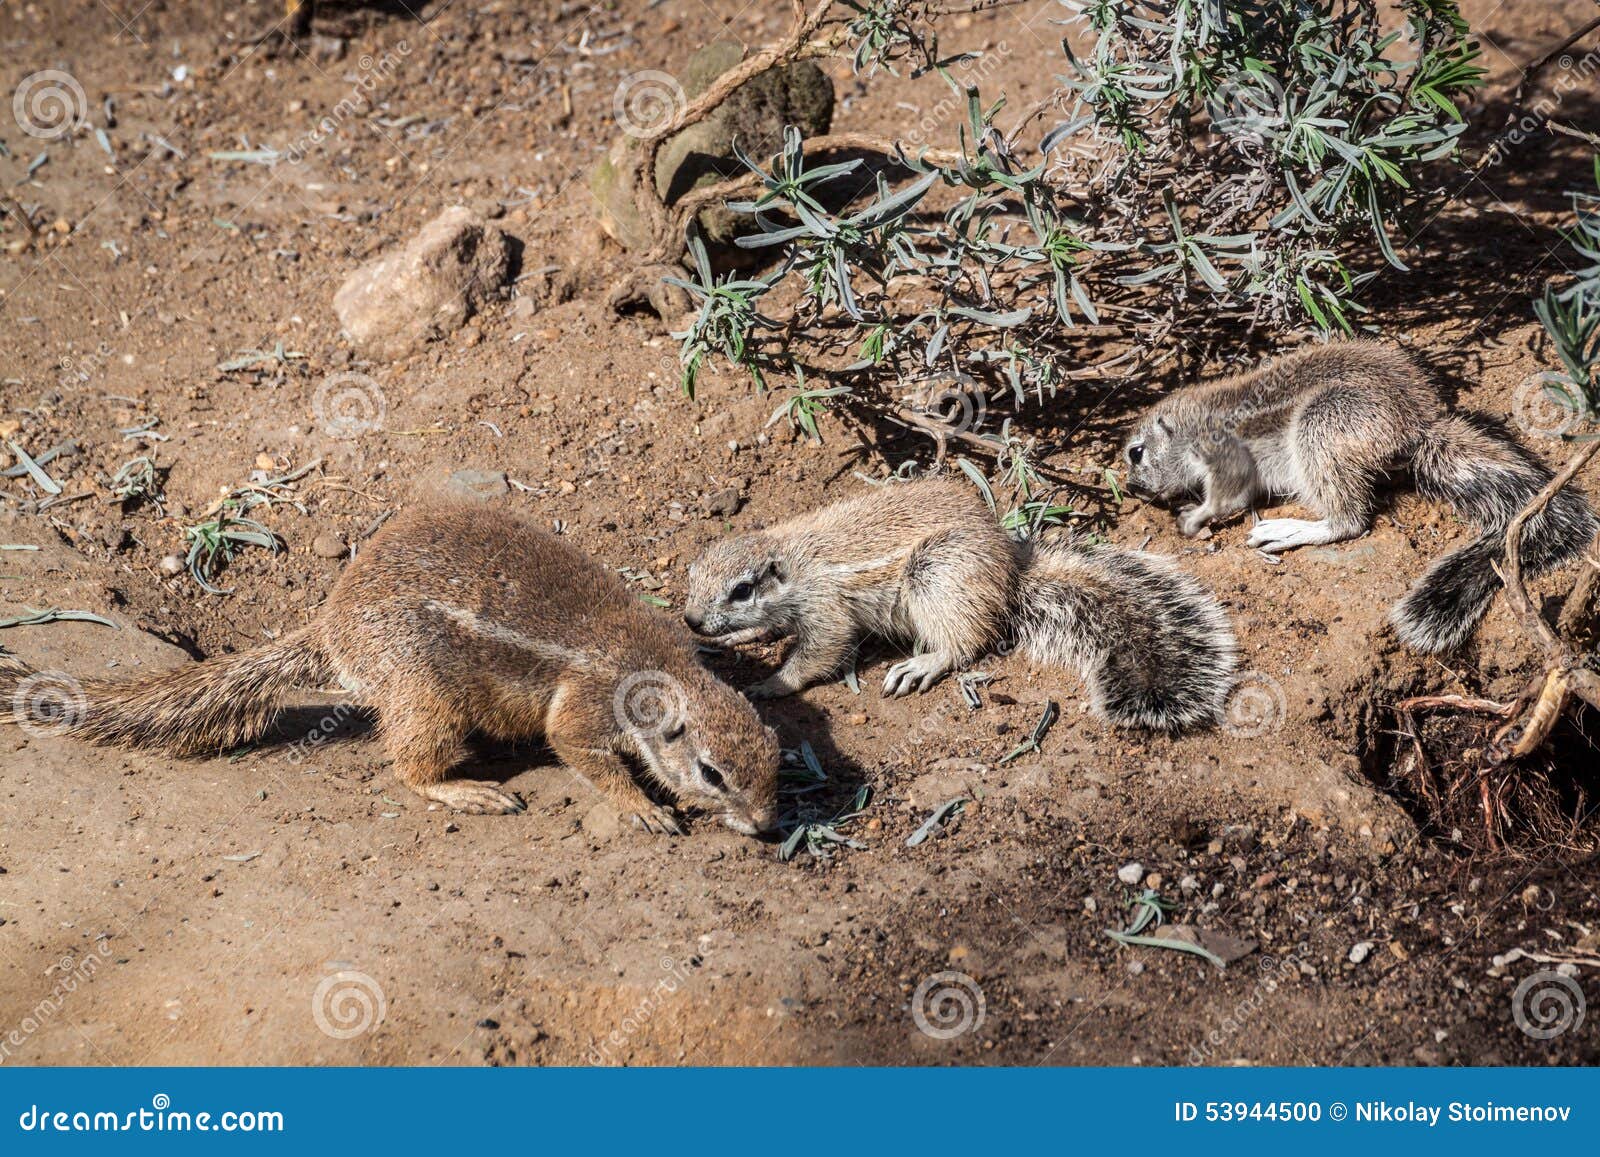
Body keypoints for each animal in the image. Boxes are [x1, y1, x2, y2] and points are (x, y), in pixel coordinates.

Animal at [1, 503, 780, 835]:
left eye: (775, 756)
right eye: (712, 773)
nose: (768, 825)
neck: (660, 666)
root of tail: (330, 625)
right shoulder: (585, 706)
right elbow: (578, 749)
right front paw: (644, 807)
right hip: (426, 695)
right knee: (409, 768)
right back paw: (469, 791)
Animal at [683, 477, 1239, 731]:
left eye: (741, 589)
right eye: (691, 573)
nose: (690, 619)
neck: (791, 559)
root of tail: (1012, 572)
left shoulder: (825, 608)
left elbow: (820, 652)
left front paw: (772, 683)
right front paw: (742, 636)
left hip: (936, 576)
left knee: (964, 643)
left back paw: (922, 664)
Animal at [1121, 341, 1599, 654]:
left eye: (1135, 453)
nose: (1129, 489)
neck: (1193, 424)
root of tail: (1421, 427)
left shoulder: (1219, 453)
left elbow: (1228, 498)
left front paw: (1194, 517)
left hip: (1320, 425)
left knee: (1349, 520)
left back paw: (1290, 529)